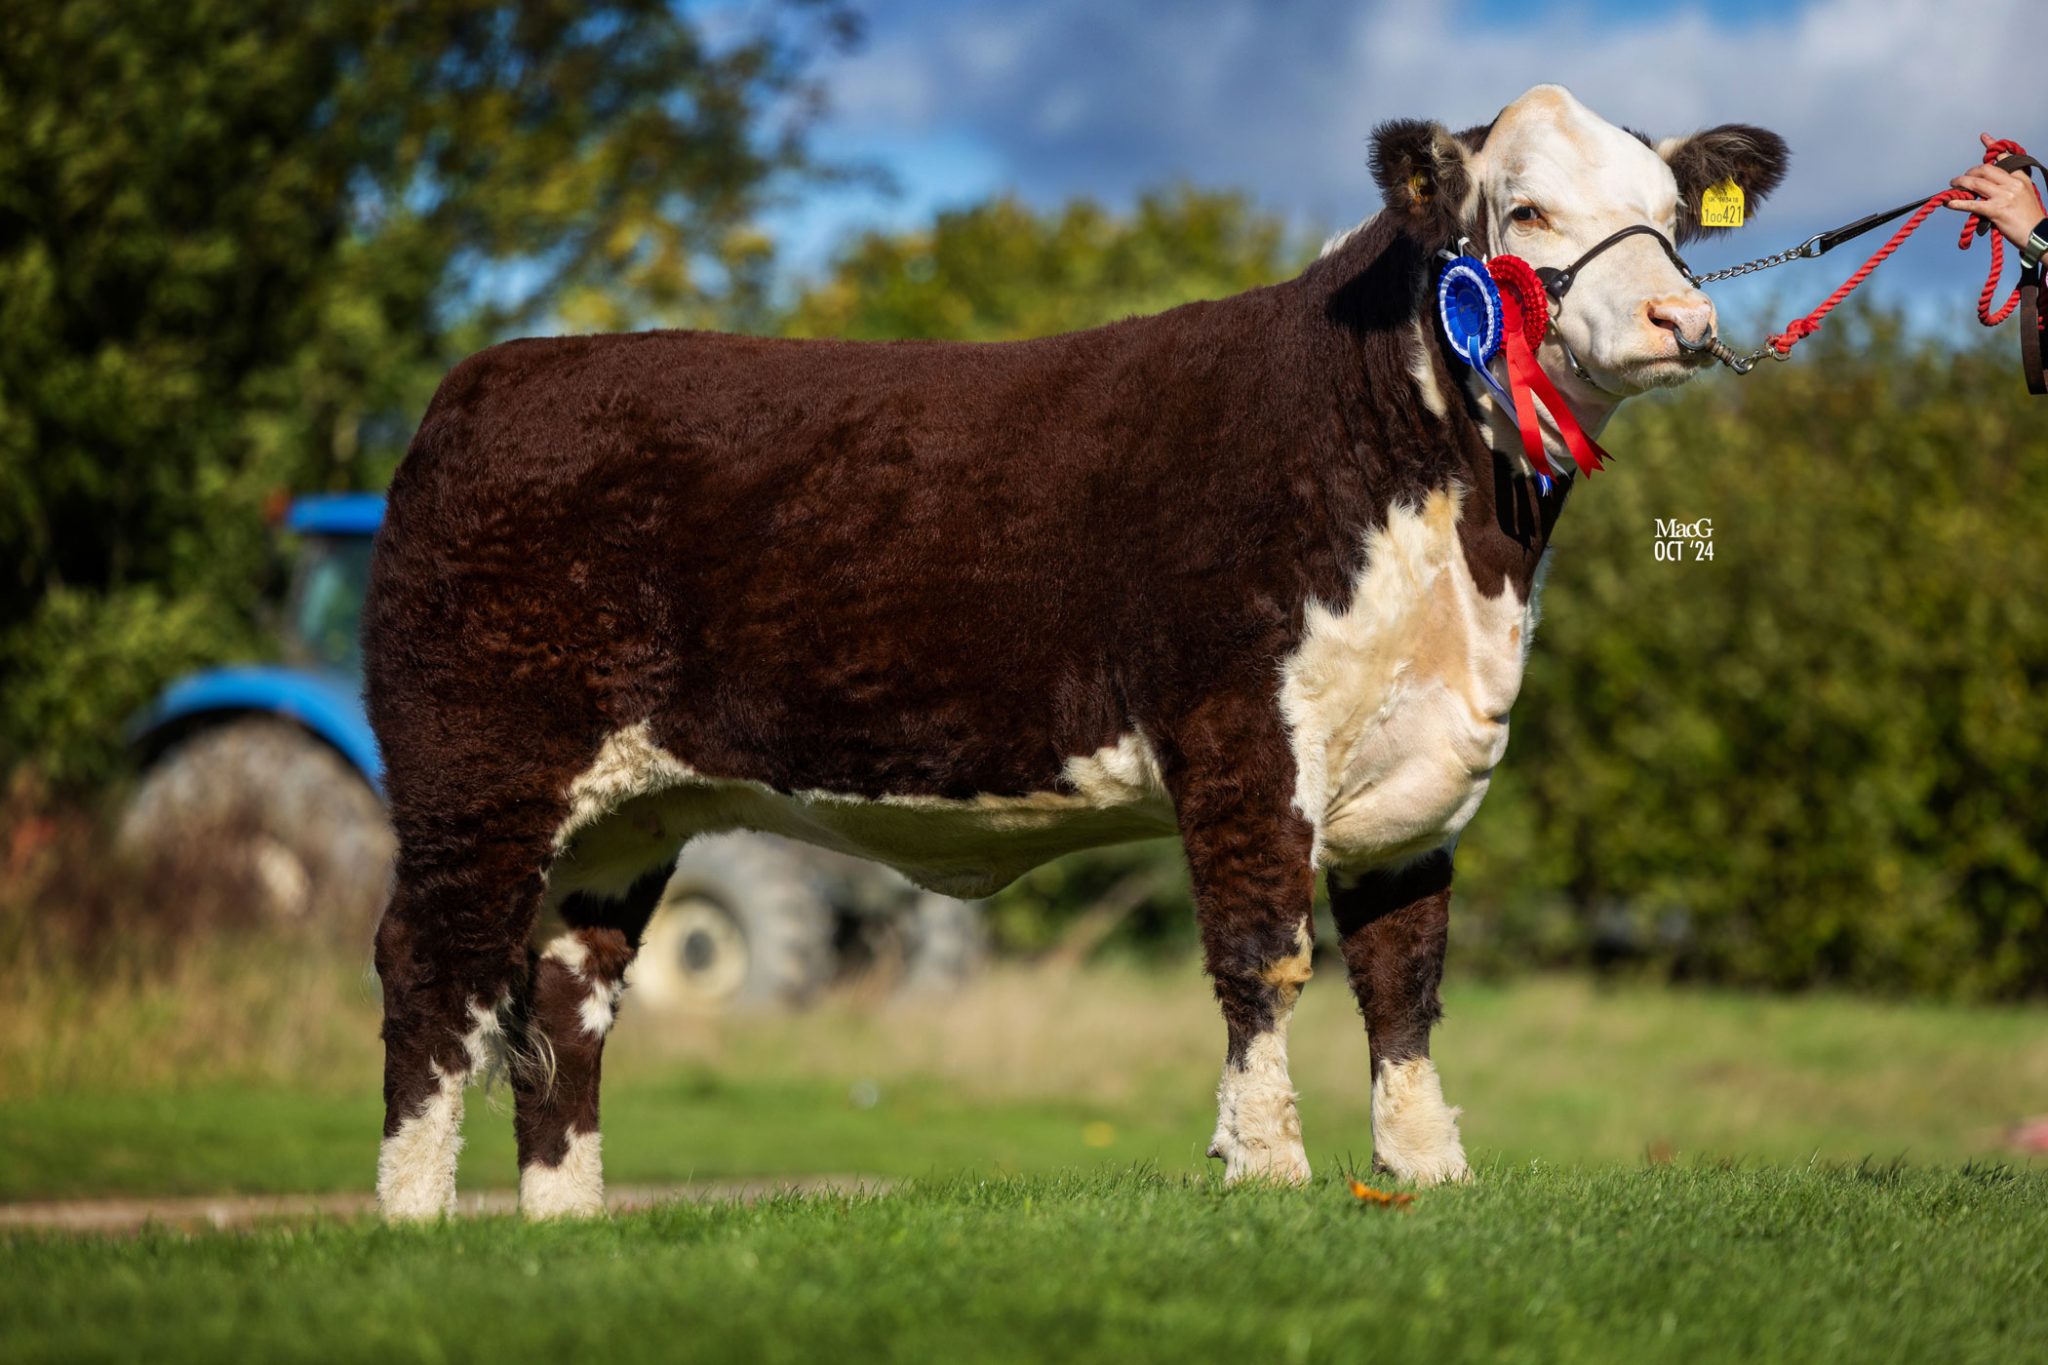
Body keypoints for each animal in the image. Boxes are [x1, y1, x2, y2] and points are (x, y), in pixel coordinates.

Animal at [364, 84, 1788, 1218]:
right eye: (1527, 212)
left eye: (1671, 212)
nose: (1678, 319)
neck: (1452, 540)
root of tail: (492, 378)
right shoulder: (1236, 733)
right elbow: (1264, 955)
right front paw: (1267, 1167)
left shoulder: (1420, 769)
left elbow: (1404, 977)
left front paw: (1425, 1169)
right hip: (474, 770)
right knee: (432, 967)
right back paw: (416, 1220)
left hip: (622, 816)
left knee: (564, 997)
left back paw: (564, 1225)